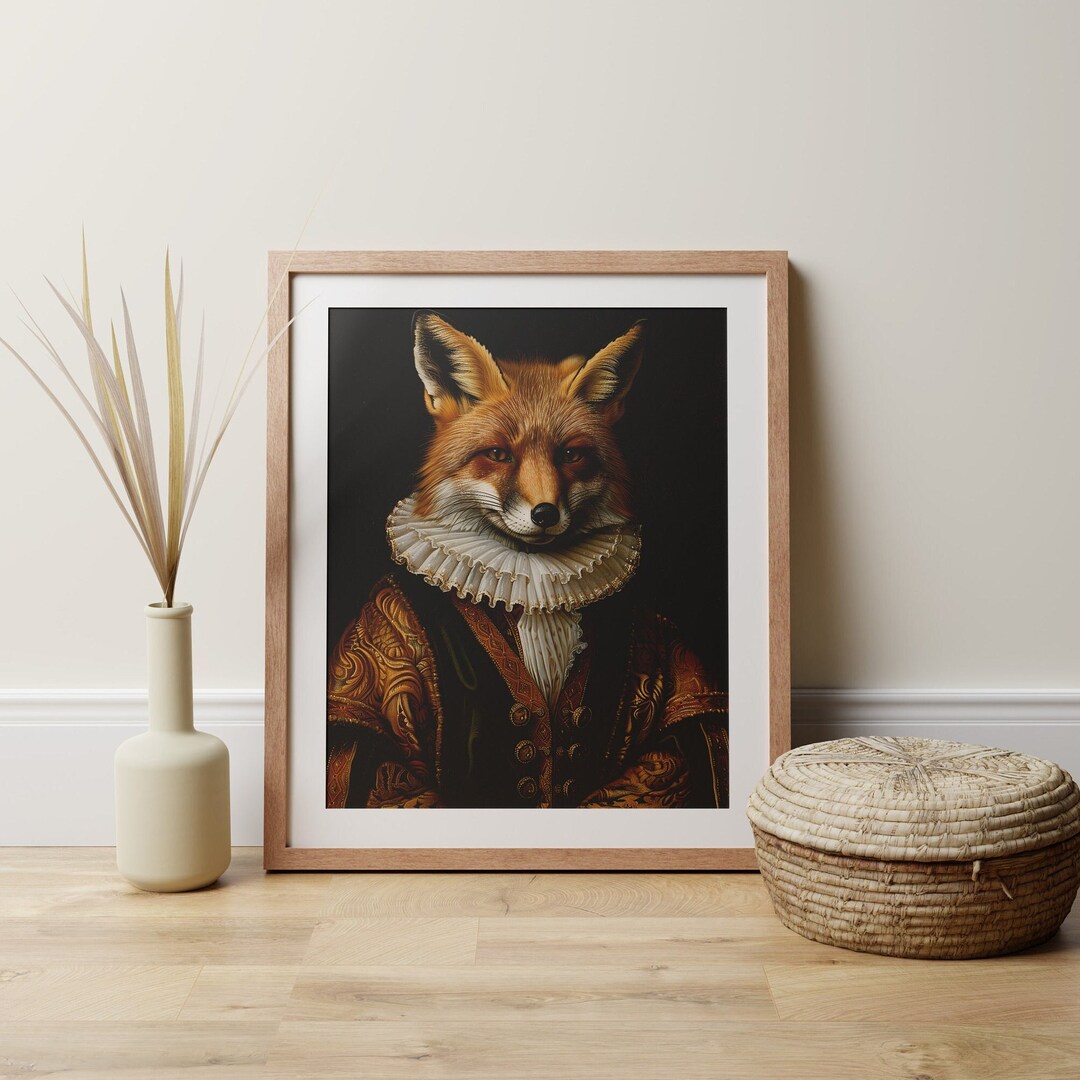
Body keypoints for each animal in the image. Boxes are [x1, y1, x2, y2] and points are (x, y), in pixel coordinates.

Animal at [326, 312, 729, 811]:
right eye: (498, 454)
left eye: (571, 455)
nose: (545, 514)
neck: (535, 583)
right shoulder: (385, 633)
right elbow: (386, 769)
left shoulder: (664, 662)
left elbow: (674, 745)